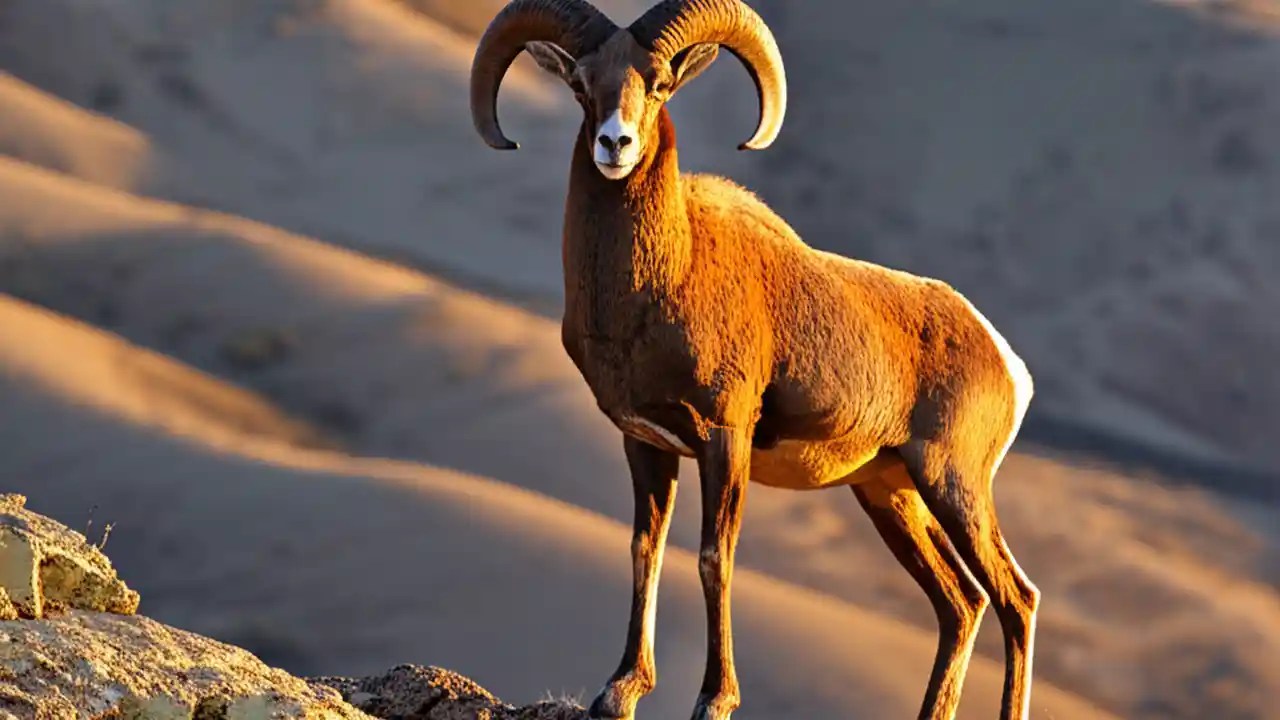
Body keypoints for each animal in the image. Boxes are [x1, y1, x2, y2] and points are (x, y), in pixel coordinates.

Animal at [470, 2, 1039, 719]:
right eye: (580, 84)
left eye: (659, 85)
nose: (614, 145)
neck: (661, 281)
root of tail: (1006, 362)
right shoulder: (646, 444)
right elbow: (644, 549)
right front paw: (620, 691)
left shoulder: (724, 439)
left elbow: (715, 558)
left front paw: (714, 699)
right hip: (891, 496)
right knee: (961, 603)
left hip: (953, 485)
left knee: (1014, 598)